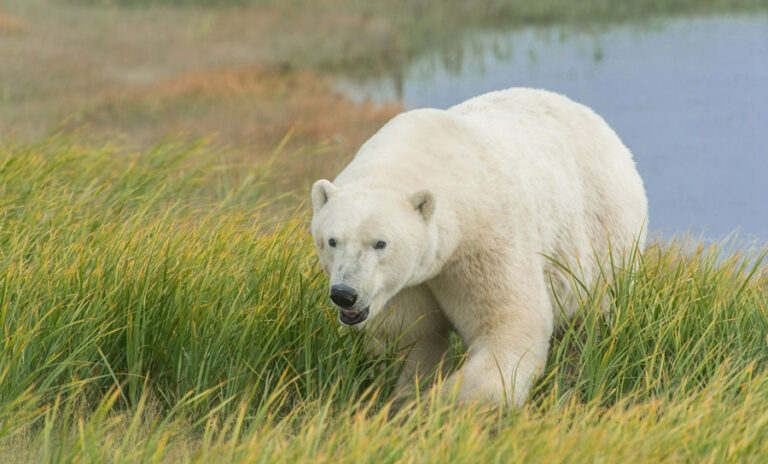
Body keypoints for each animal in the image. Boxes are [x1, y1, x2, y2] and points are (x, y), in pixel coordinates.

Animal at [310, 88, 648, 407]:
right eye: (332, 240)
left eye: (380, 243)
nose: (344, 294)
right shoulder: (404, 285)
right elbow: (410, 337)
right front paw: (408, 397)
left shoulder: (486, 239)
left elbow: (510, 327)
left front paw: (444, 401)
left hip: (603, 239)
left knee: (591, 322)